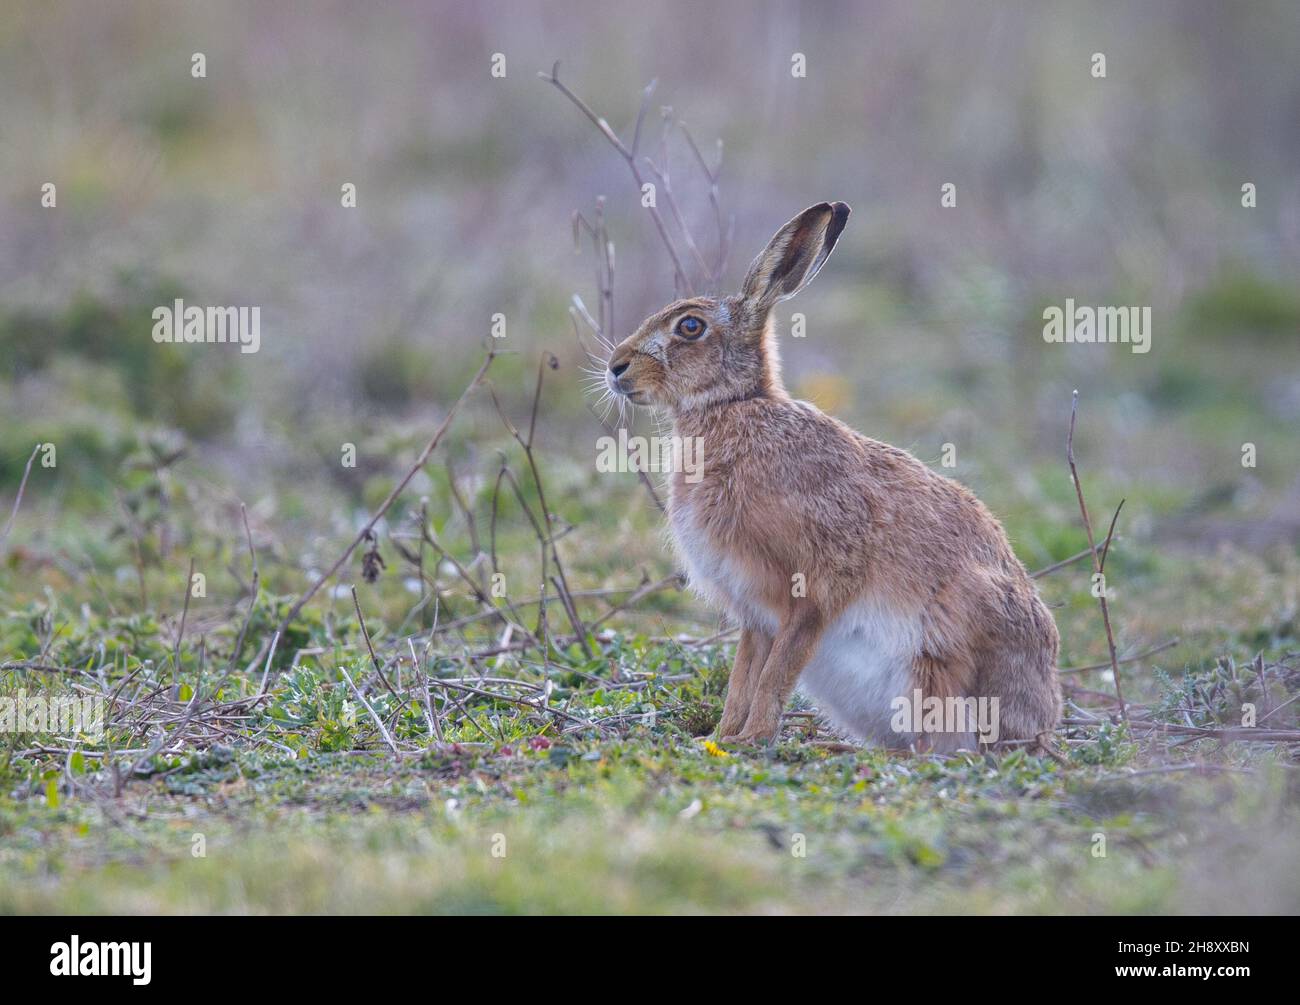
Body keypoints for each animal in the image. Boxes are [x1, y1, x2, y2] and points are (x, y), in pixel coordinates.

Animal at [604, 202, 1061, 751]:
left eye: (690, 327)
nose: (616, 367)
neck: (734, 407)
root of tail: (1038, 723)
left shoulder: (816, 584)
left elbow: (777, 672)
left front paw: (752, 739)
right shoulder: (755, 614)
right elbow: (744, 675)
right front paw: (722, 737)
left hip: (946, 649)